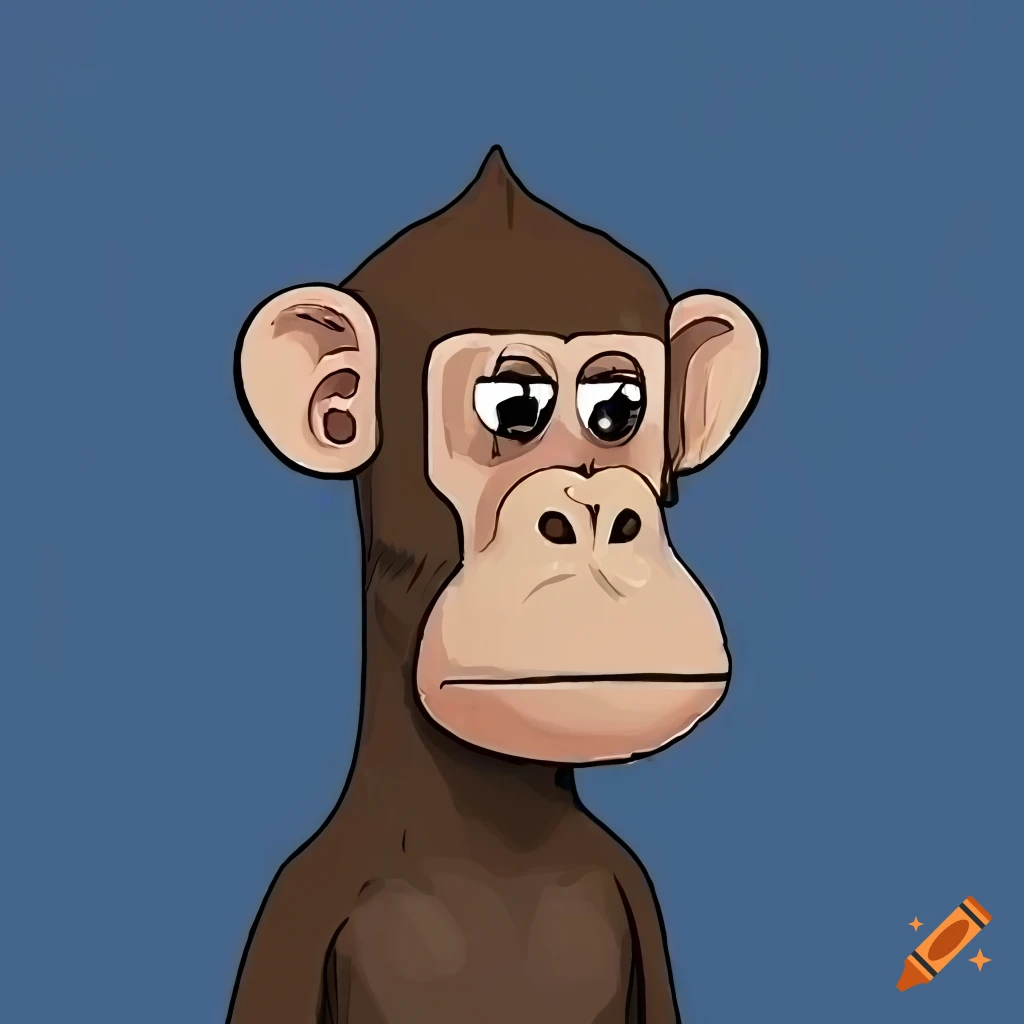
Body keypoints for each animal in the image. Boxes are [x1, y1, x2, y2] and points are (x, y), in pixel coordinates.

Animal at [228, 146, 767, 1024]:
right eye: (515, 406)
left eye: (621, 410)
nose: (596, 513)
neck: (495, 837)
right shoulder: (295, 912)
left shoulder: (637, 892)